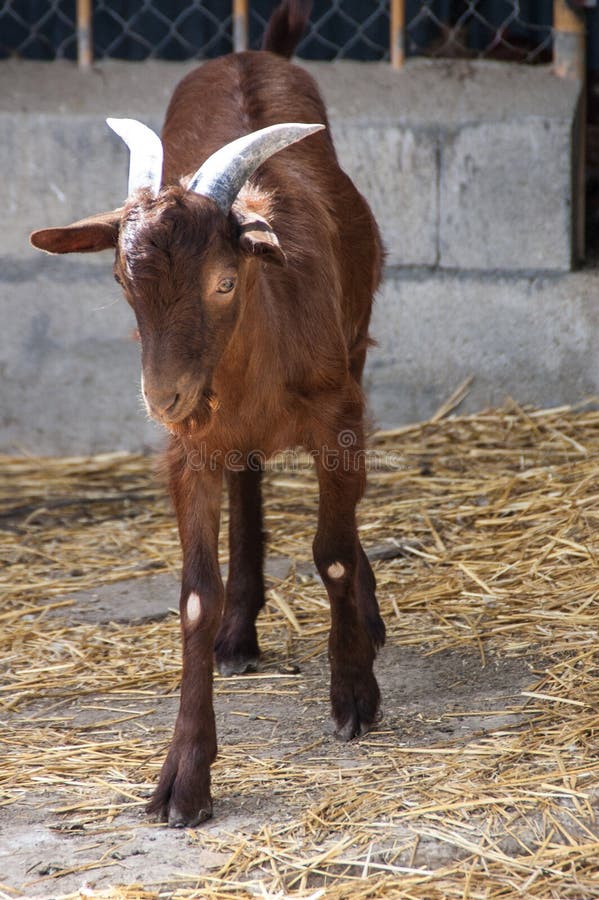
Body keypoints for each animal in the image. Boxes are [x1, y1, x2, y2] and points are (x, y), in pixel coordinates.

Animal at [30, 0, 385, 827]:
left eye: (226, 281)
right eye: (122, 280)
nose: (162, 397)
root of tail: (250, 53)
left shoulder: (339, 418)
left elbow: (329, 549)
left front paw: (353, 691)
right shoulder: (188, 450)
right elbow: (195, 595)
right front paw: (183, 778)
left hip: (356, 346)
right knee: (247, 479)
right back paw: (239, 631)